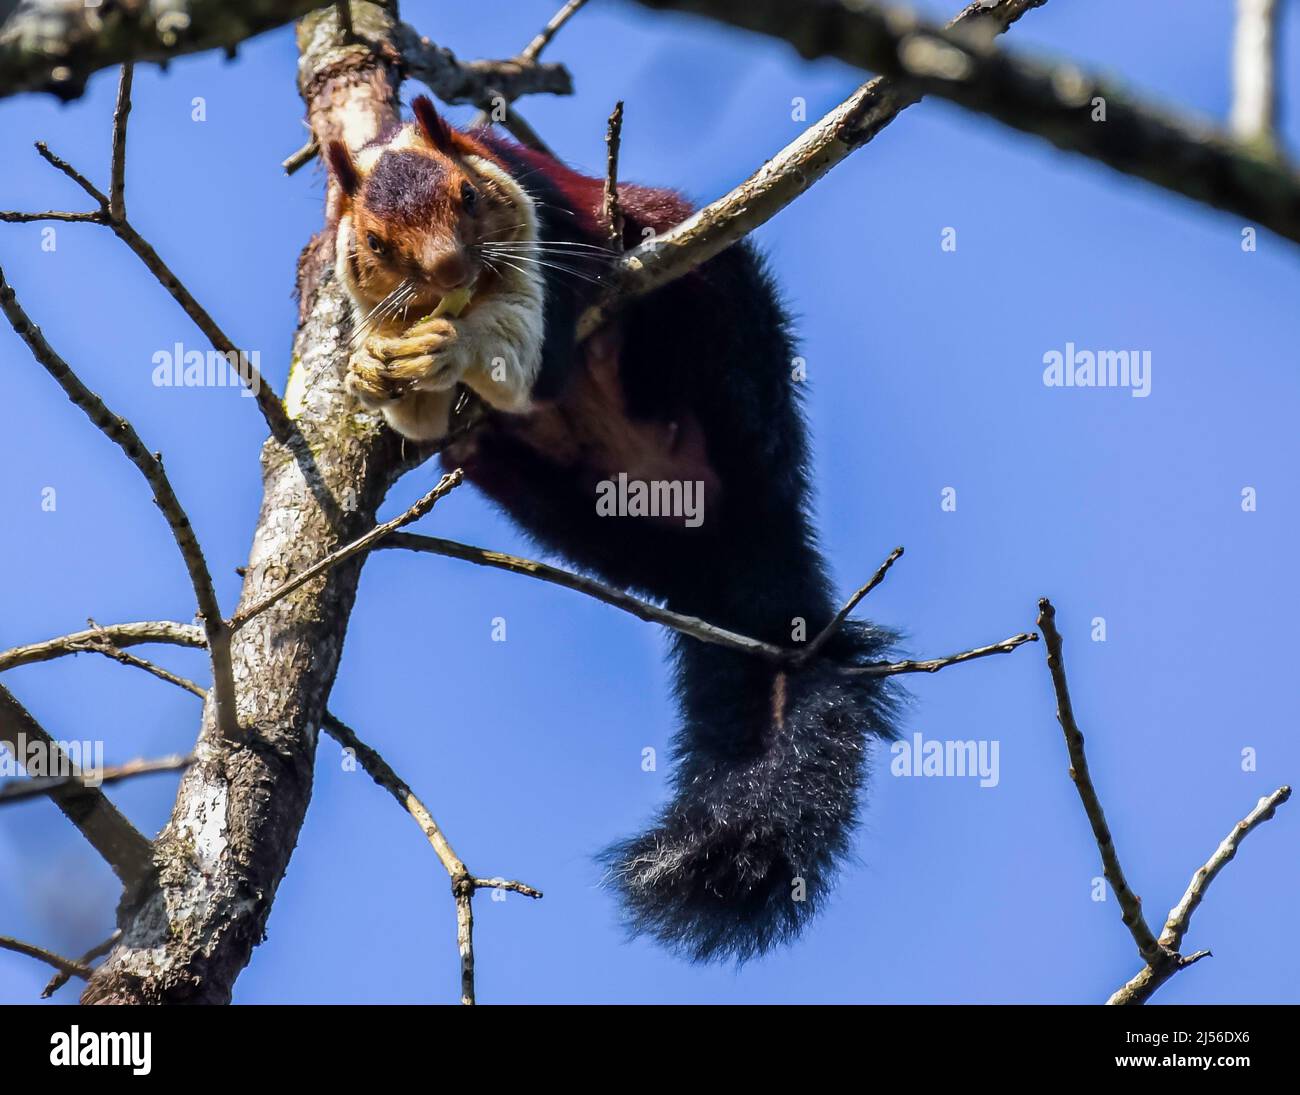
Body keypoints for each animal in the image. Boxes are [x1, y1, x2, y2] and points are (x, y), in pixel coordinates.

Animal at [328, 97, 899, 963]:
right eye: (372, 244)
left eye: (469, 195)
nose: (452, 274)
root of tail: (732, 547)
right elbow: (409, 399)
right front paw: (373, 369)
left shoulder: (546, 229)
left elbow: (536, 353)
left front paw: (455, 345)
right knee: (487, 452)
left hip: (723, 326)